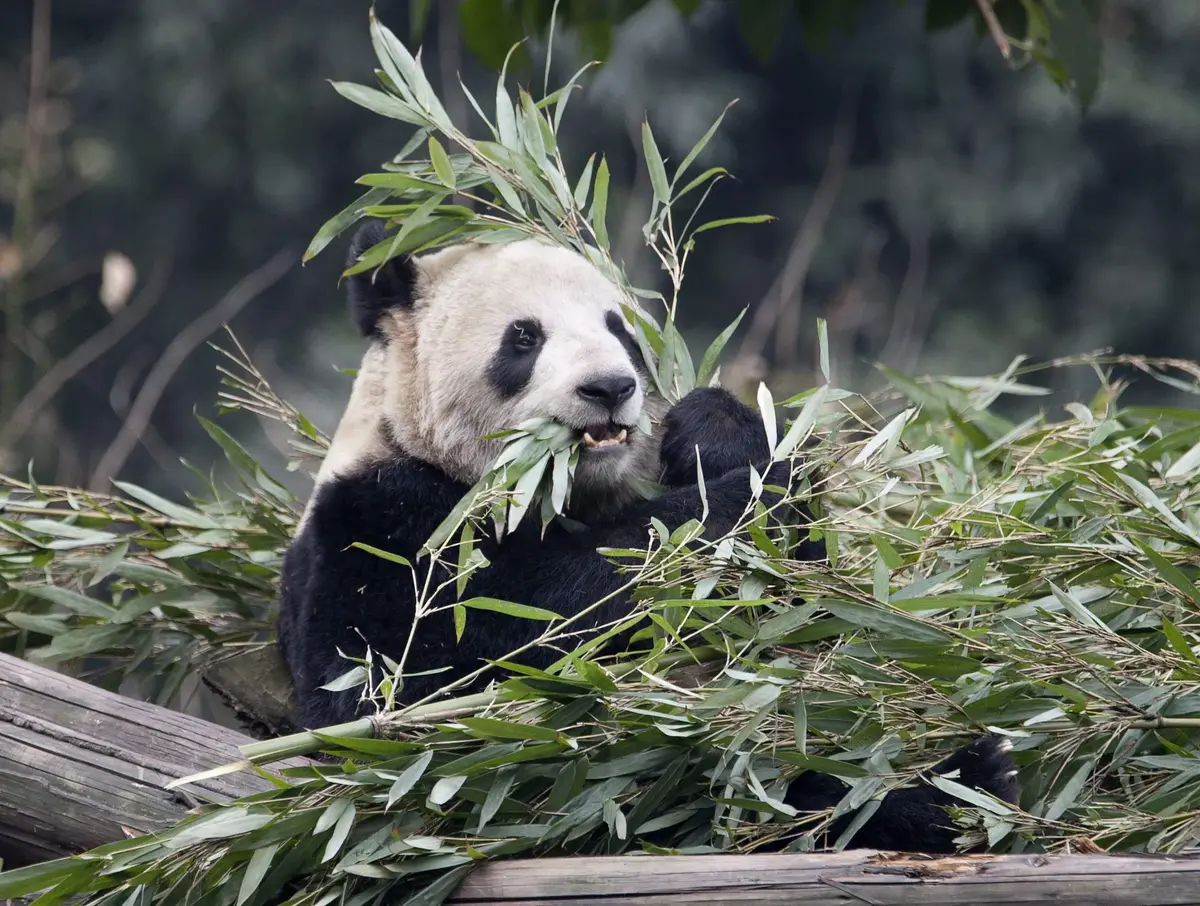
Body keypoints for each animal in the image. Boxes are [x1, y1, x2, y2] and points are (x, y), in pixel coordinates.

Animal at [277, 220, 1020, 853]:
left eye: (621, 330)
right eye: (523, 338)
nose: (609, 387)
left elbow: (816, 605)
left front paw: (715, 432)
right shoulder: (386, 527)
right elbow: (419, 686)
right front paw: (736, 502)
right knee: (742, 781)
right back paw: (951, 789)